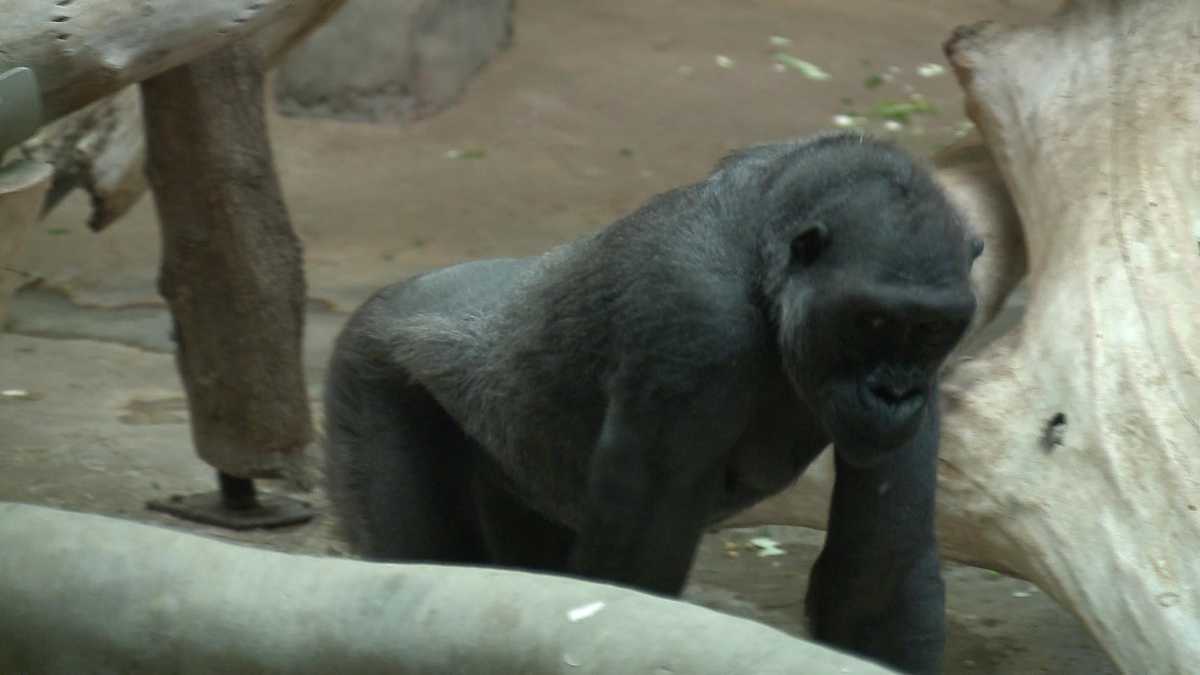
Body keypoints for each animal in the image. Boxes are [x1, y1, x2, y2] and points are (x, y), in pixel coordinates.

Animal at [323, 131, 983, 674]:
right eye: (872, 320)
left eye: (928, 330)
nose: (894, 393)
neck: (761, 259)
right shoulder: (691, 324)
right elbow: (632, 588)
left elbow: (877, 577)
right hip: (365, 371)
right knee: (418, 568)